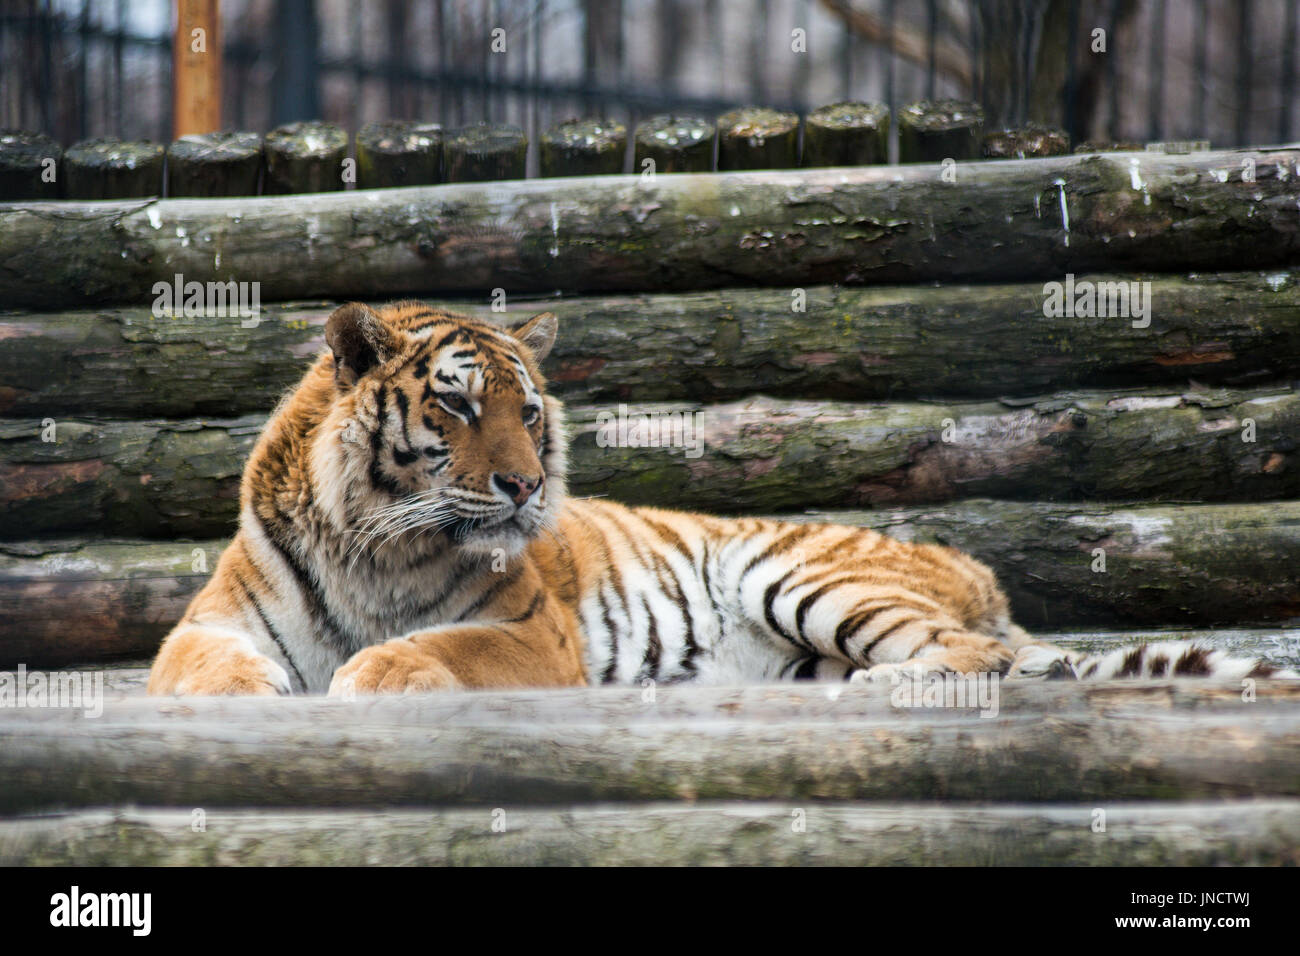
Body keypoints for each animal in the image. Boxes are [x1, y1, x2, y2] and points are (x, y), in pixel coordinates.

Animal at [146, 301, 1294, 696]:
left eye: (529, 409)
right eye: (459, 404)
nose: (525, 484)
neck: (371, 546)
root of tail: (978, 570)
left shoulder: (524, 631)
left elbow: (430, 648)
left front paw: (373, 676)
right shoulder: (212, 623)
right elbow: (201, 670)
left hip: (804, 576)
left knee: (974, 655)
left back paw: (885, 688)